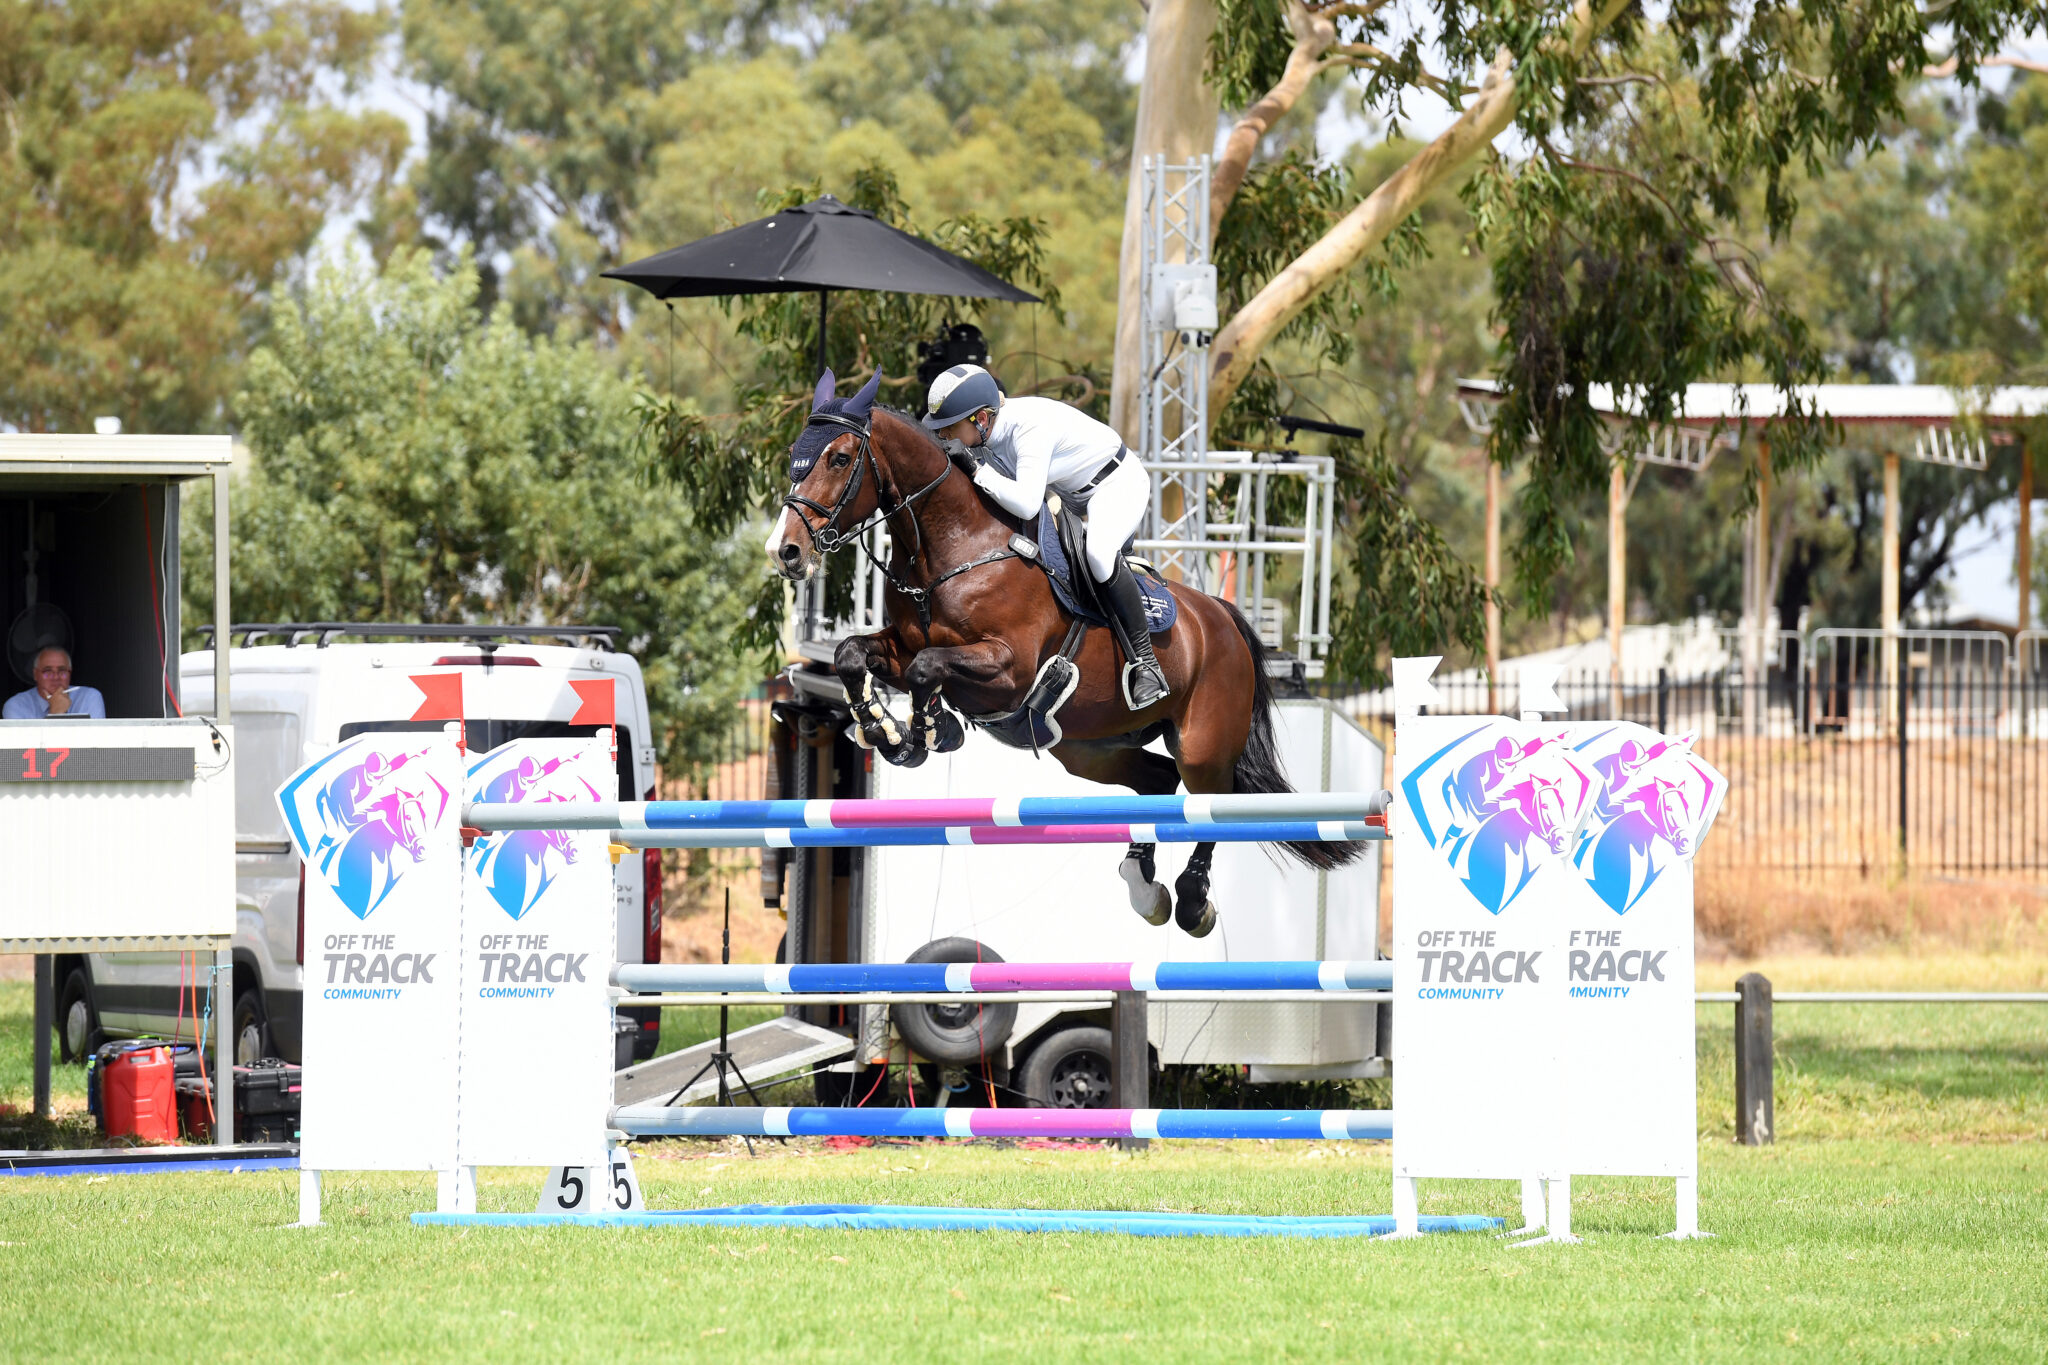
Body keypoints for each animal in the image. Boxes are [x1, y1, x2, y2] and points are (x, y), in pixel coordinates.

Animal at [764, 374, 1361, 937]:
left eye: (840, 457)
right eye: (796, 452)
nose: (785, 551)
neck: (956, 543)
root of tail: (1222, 616)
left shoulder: (1009, 667)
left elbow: (926, 667)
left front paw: (932, 729)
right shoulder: (901, 642)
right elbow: (853, 654)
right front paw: (889, 734)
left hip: (1202, 743)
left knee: (1211, 802)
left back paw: (1192, 901)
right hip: (1090, 748)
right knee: (1157, 781)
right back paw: (1145, 887)